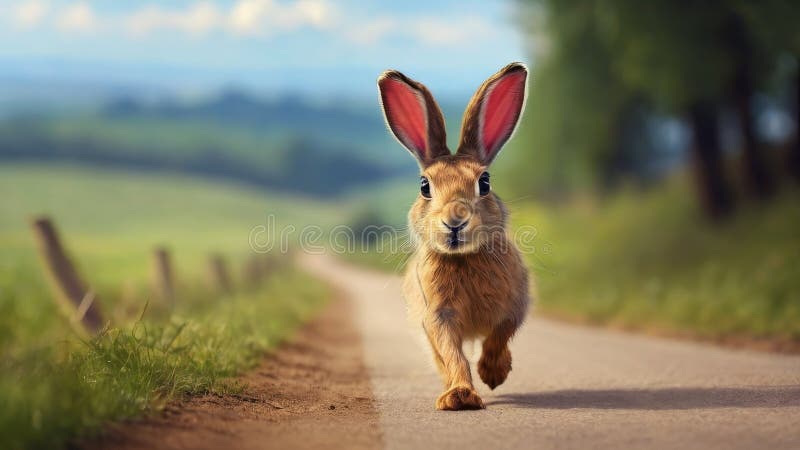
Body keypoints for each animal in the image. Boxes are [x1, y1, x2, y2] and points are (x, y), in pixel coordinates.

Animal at [377, 63, 531, 410]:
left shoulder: (514, 303)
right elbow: (452, 353)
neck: (463, 258)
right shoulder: (437, 315)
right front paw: (460, 396)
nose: (455, 222)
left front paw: (493, 372)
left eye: (484, 182)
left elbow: (500, 334)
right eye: (425, 186)